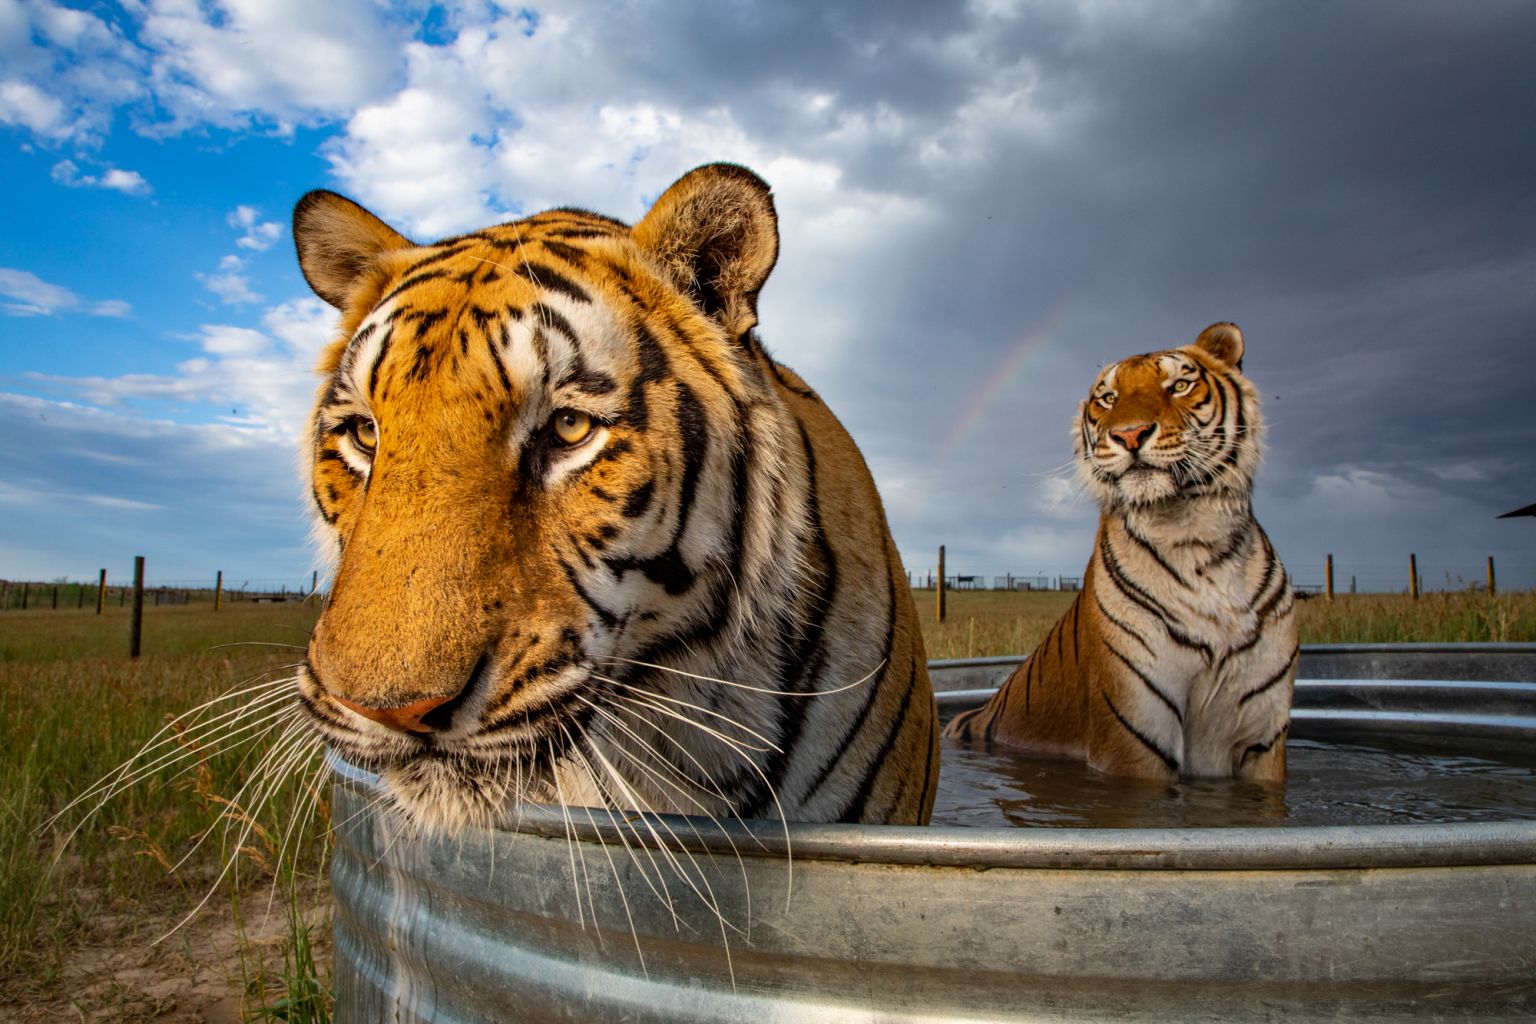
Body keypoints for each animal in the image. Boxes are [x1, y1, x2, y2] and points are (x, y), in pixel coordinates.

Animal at [947, 323, 1296, 781]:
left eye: (1179, 385)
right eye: (1109, 398)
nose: (1129, 434)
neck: (1194, 537)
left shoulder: (1264, 740)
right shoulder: (1133, 732)